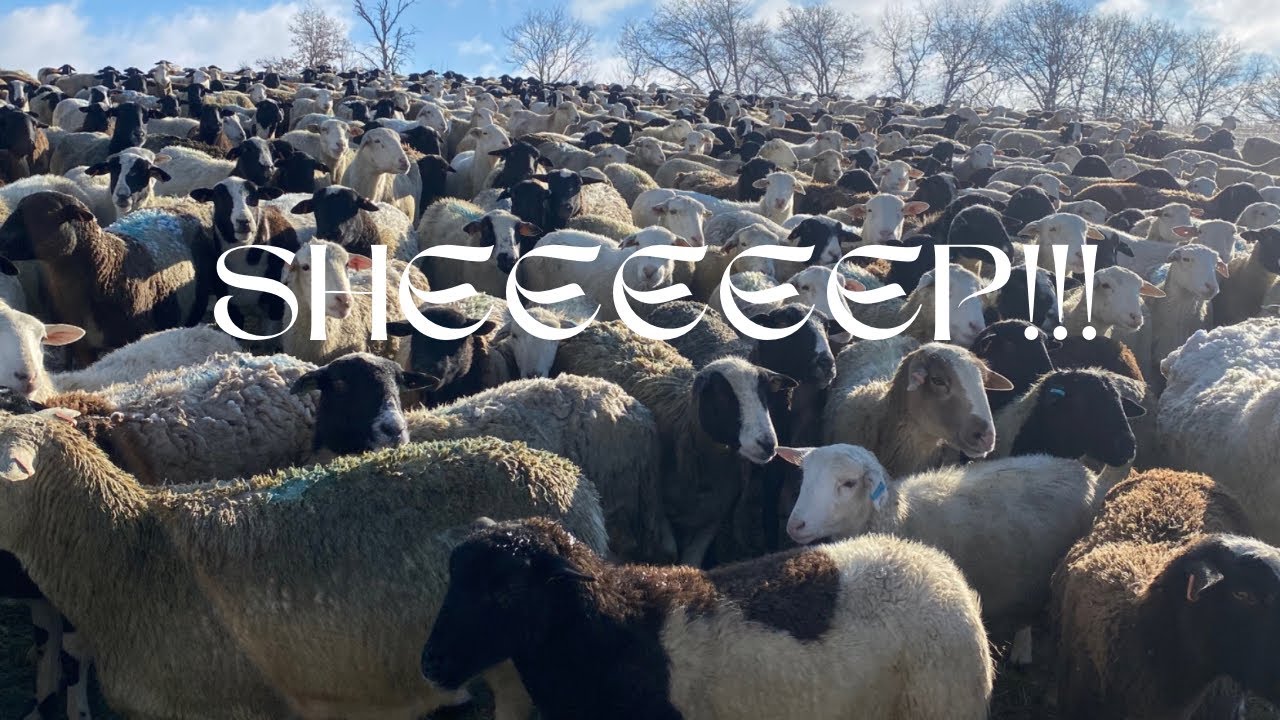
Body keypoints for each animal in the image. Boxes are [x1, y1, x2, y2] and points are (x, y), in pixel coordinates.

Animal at [553, 320, 796, 566]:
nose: (767, 444)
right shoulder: (658, 514)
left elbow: (691, 563)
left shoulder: (710, 519)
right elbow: (669, 553)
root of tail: (598, 324)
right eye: (723, 397)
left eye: (764, 397)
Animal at [783, 444, 1099, 665]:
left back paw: (1022, 650)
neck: (902, 517)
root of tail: (1078, 468)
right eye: (804, 478)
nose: (795, 525)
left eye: (848, 483)